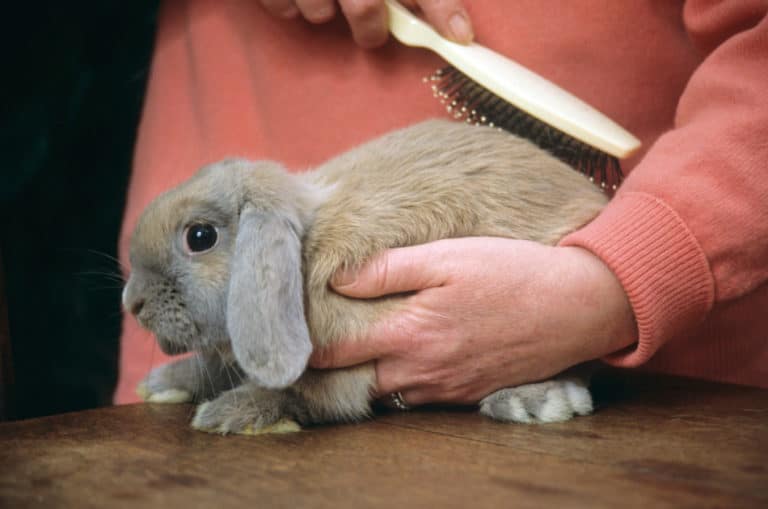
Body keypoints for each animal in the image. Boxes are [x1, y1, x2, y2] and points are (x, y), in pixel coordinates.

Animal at [123, 119, 608, 434]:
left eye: (200, 236)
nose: (132, 302)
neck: (306, 249)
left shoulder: (347, 360)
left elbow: (306, 395)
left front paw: (227, 414)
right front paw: (163, 385)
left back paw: (533, 401)